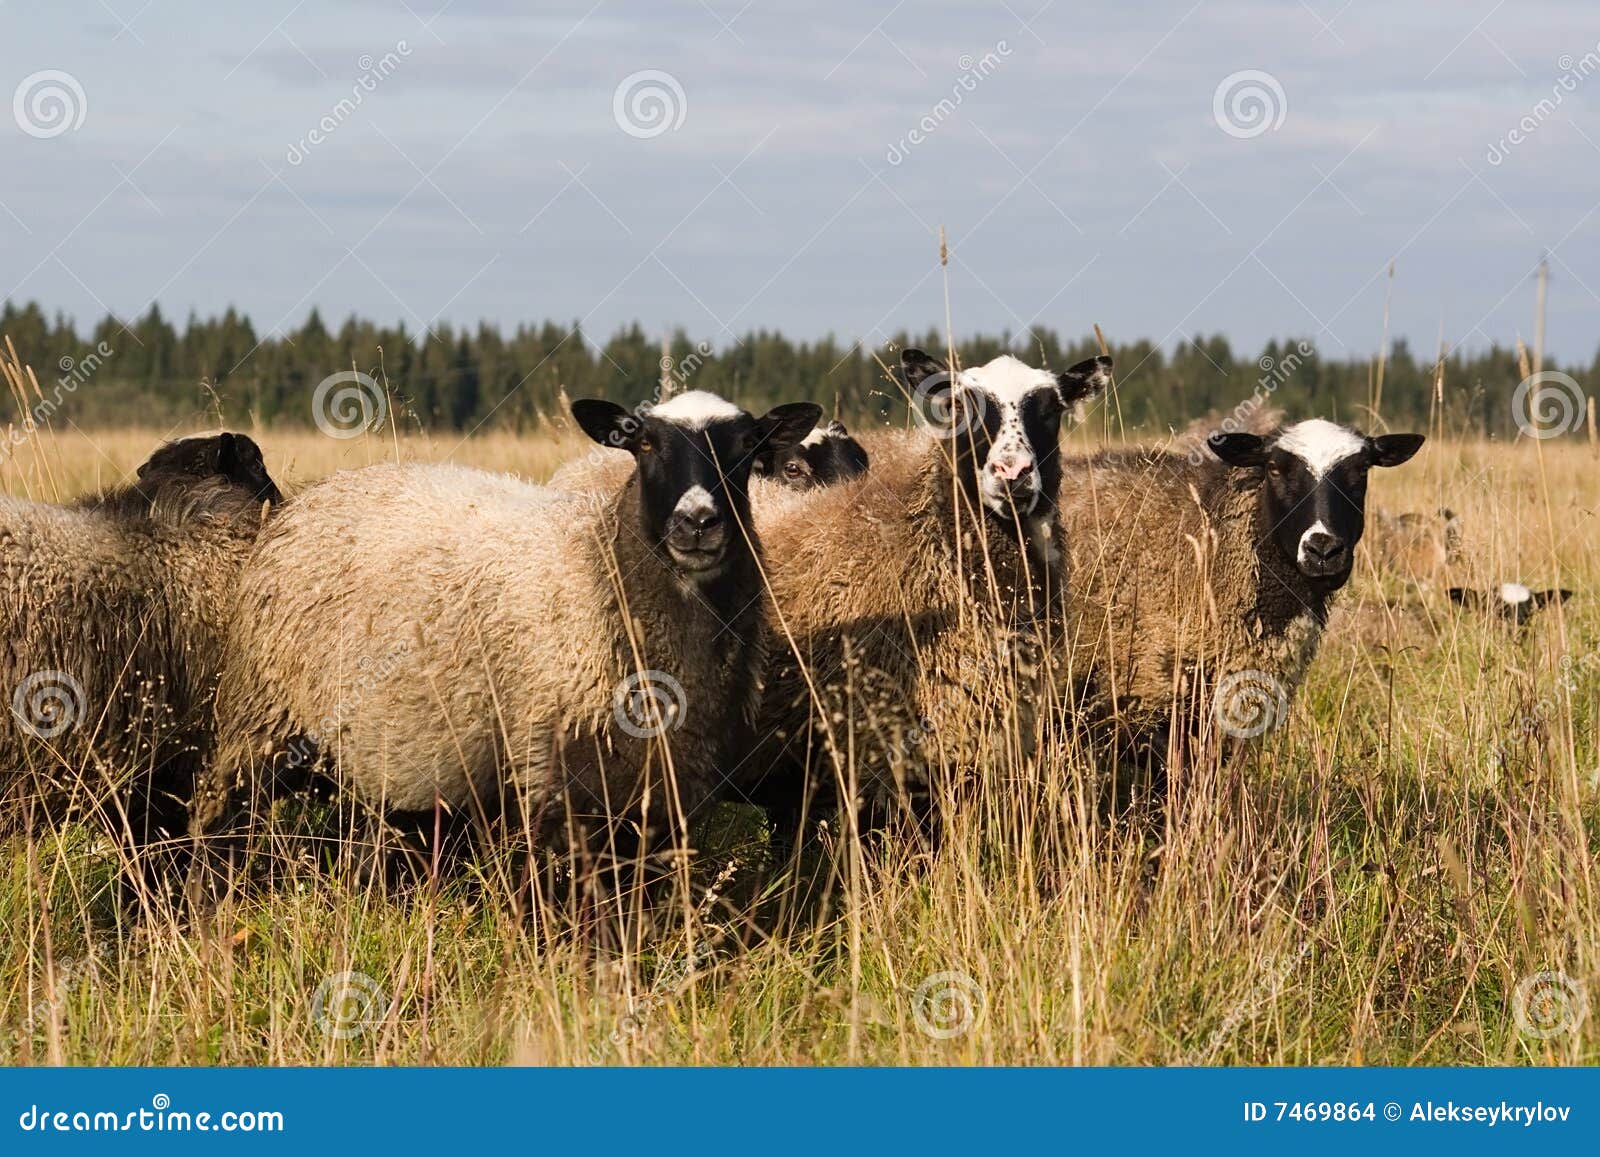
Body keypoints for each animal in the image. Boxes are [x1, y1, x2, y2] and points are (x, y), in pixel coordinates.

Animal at [187, 391, 821, 883]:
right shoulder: (553, 781)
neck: (599, 568)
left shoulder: (665, 797)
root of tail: (315, 493)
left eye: (750, 448)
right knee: (217, 817)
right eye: (643, 445)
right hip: (260, 717)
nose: (697, 523)